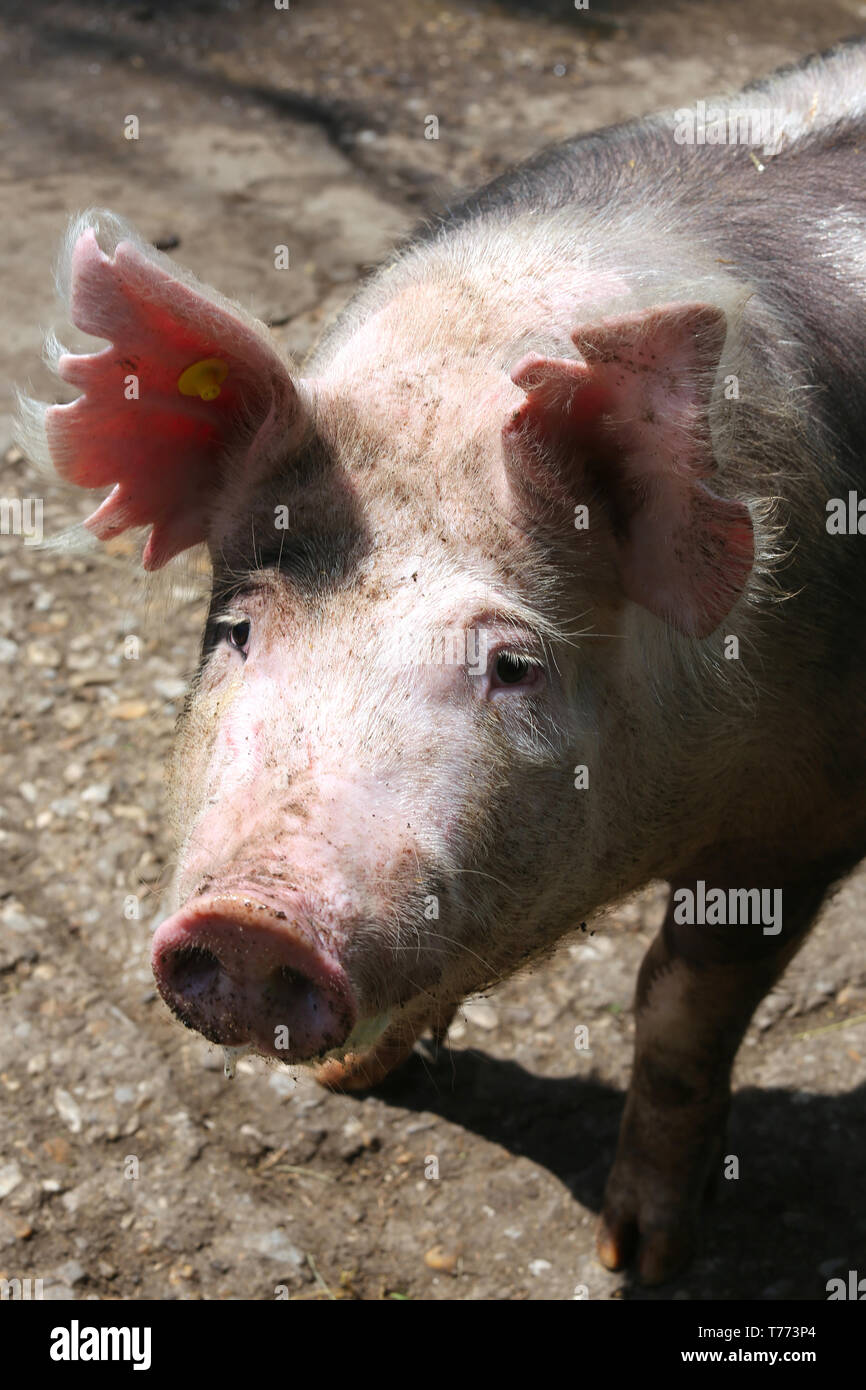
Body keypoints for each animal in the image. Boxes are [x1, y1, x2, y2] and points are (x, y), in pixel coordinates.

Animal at [17, 39, 866, 1285]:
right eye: (237, 631)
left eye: (510, 665)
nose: (253, 919)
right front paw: (346, 1082)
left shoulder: (802, 811)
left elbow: (676, 1010)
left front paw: (634, 1257)